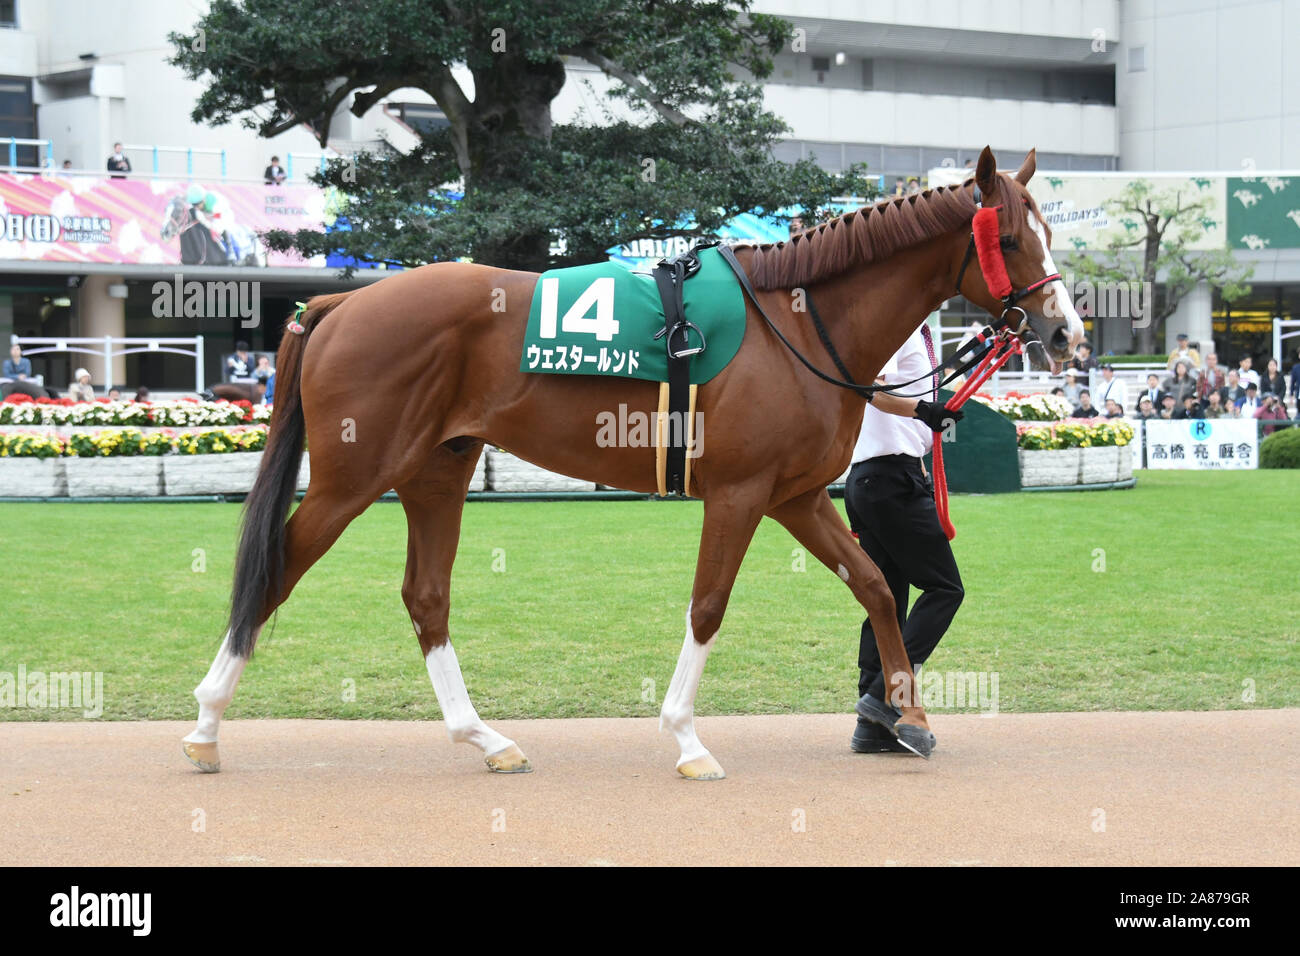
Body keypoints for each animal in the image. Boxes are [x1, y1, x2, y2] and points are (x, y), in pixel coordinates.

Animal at [181, 147, 1083, 779]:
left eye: (1047, 234)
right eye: (1010, 237)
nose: (1067, 332)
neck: (796, 320)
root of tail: (342, 301)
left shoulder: (795, 496)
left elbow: (874, 586)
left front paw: (908, 717)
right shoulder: (741, 494)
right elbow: (709, 607)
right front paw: (686, 739)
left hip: (436, 469)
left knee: (426, 596)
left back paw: (485, 738)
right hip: (352, 478)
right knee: (275, 571)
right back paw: (205, 724)